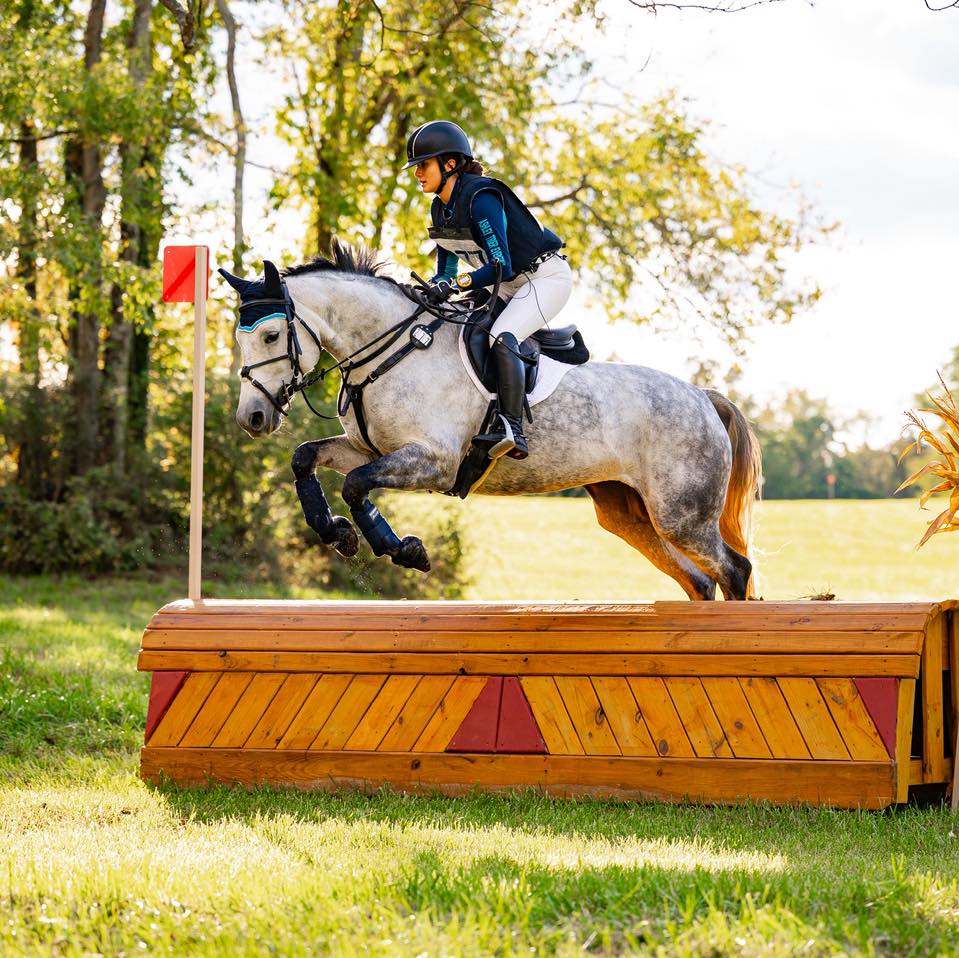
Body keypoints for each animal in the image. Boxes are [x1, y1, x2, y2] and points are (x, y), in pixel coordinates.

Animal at [219, 240, 763, 600]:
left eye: (270, 336)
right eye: (240, 337)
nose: (253, 417)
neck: (392, 348)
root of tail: (702, 397)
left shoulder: (433, 461)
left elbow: (355, 485)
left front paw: (404, 550)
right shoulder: (371, 450)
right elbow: (305, 458)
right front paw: (338, 533)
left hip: (681, 514)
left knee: (734, 569)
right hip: (627, 512)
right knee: (700, 580)